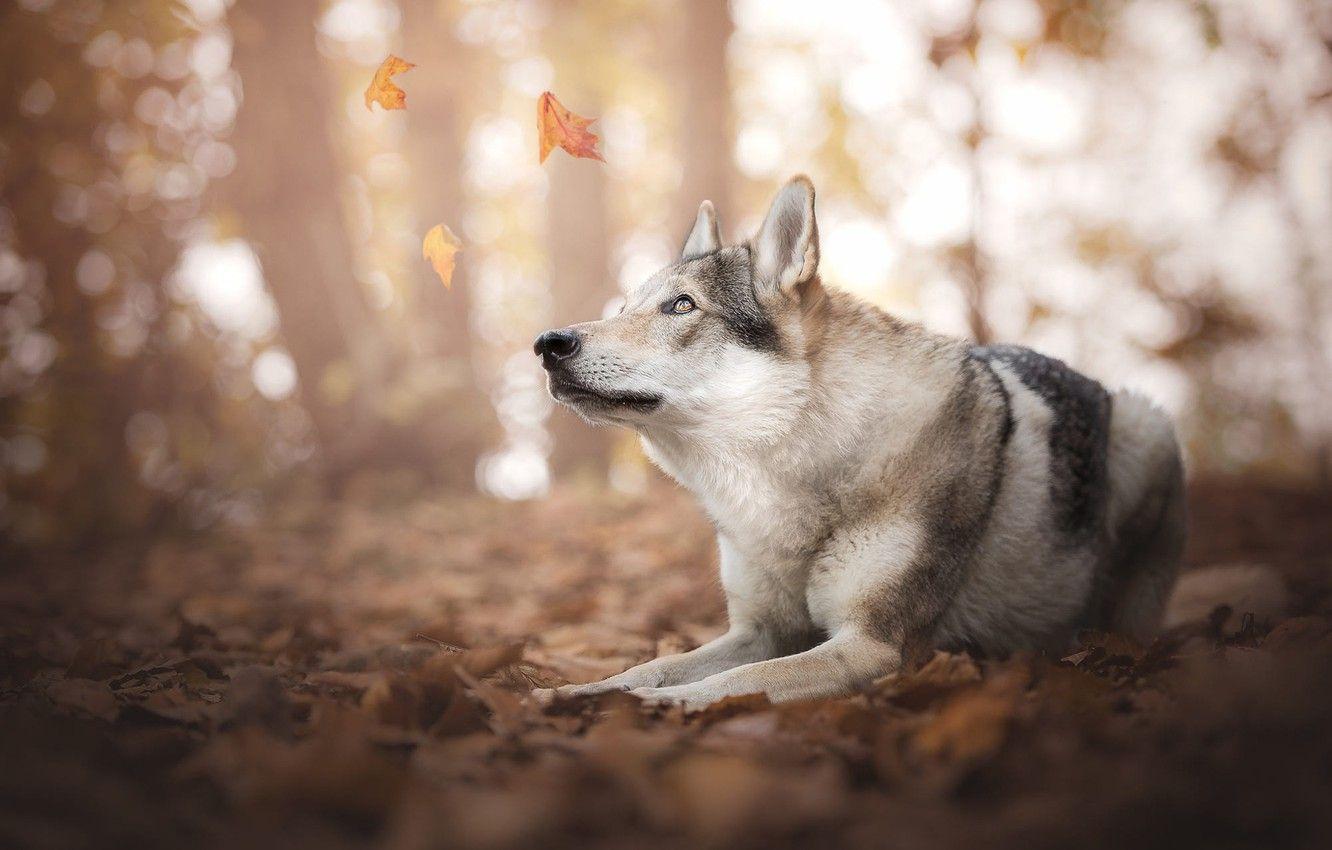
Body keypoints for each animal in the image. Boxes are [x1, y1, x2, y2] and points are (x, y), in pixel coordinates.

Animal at [534, 176, 1186, 709]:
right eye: (624, 308)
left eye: (682, 306)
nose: (548, 344)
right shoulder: (759, 632)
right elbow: (657, 664)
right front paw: (565, 691)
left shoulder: (872, 646)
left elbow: (726, 686)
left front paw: (643, 706)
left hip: (1146, 427)